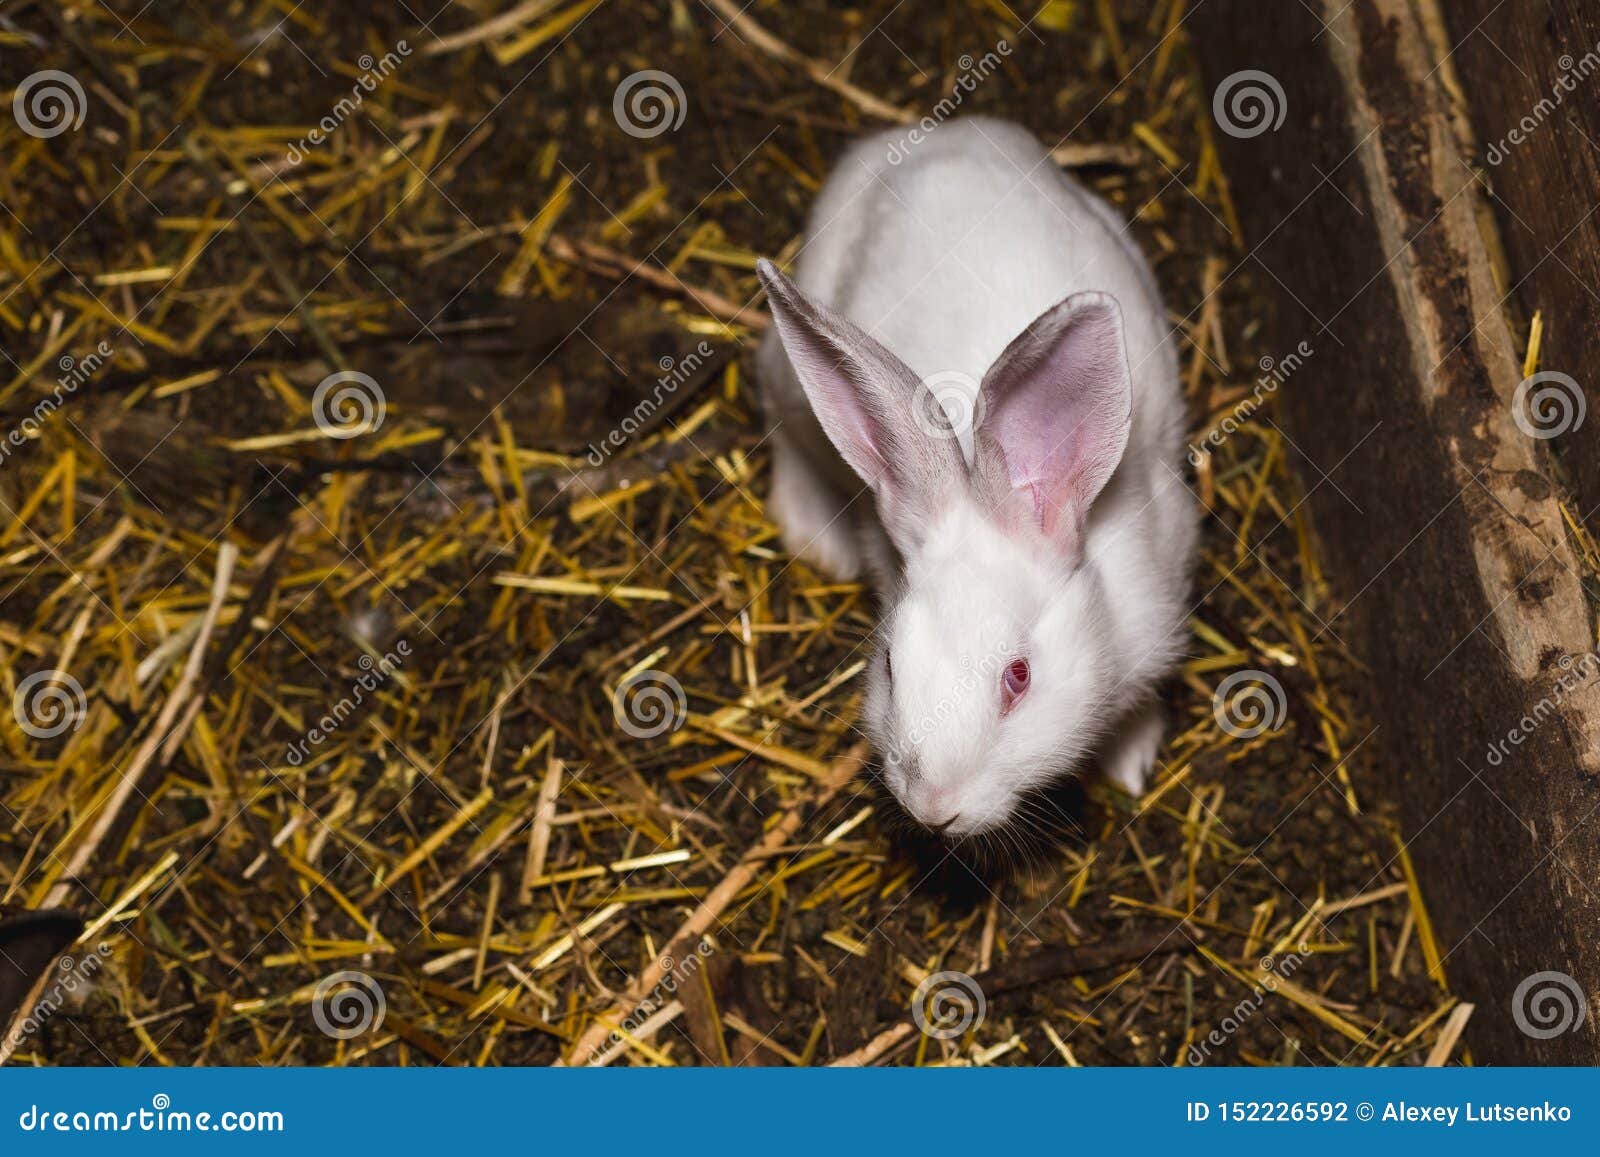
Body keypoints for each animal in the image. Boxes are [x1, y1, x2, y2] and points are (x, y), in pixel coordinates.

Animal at [754, 116, 1198, 840]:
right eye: (889, 665)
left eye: (1018, 677)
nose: (934, 809)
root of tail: (929, 137)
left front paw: (1130, 761)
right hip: (795, 383)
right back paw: (815, 533)